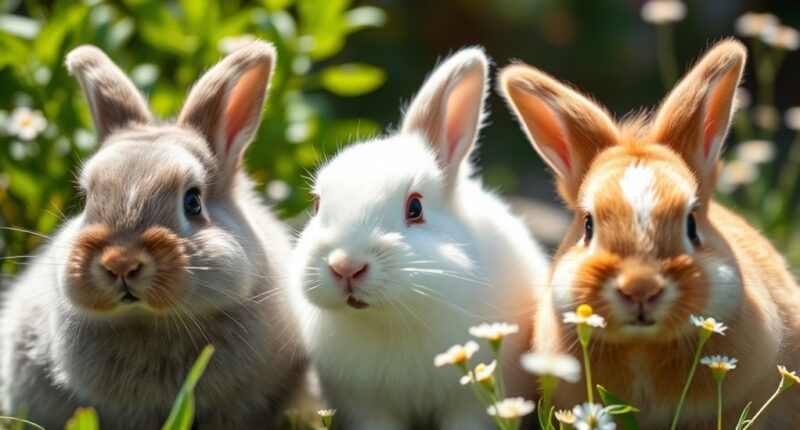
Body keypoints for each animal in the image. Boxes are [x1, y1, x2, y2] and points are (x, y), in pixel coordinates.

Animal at [290, 47, 550, 430]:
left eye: (415, 208)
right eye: (317, 204)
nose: (346, 266)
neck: (391, 321)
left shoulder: (468, 401)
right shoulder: (367, 405)